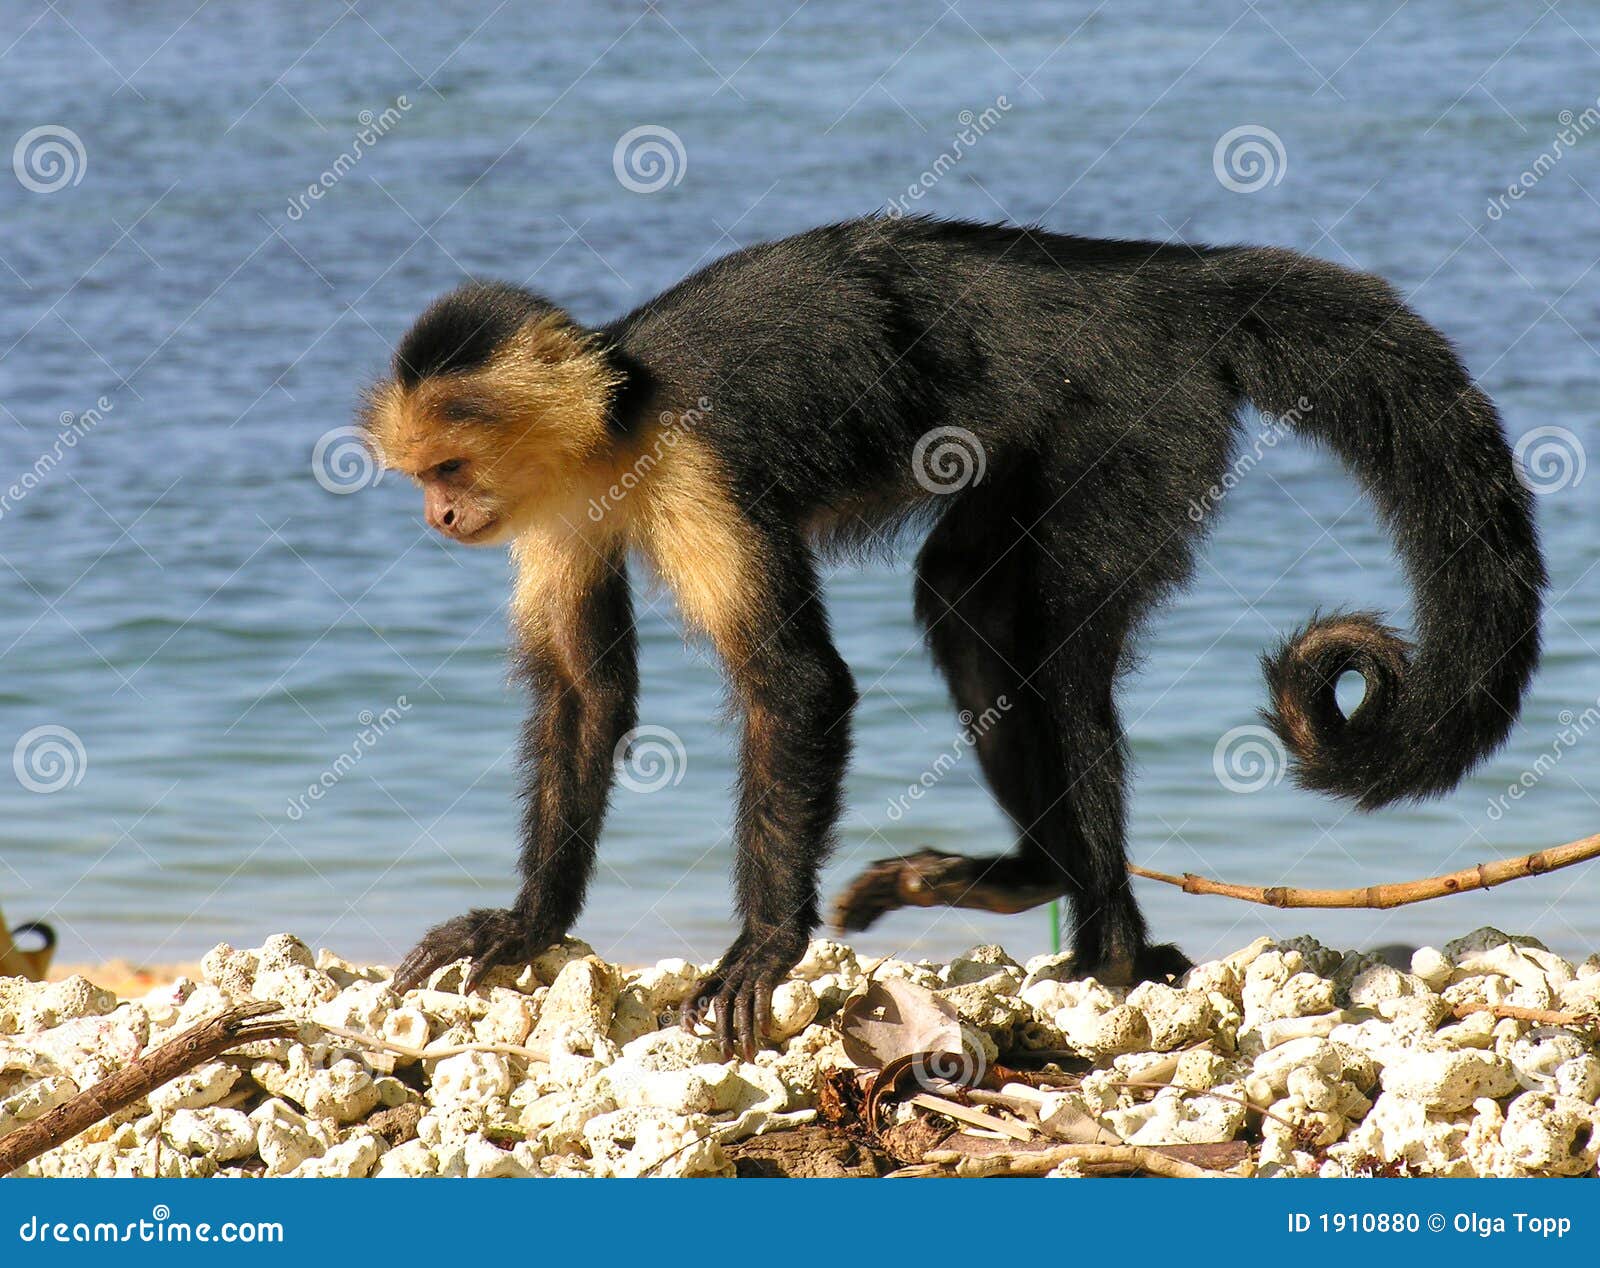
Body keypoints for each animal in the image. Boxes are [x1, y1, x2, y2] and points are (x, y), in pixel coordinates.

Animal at [360, 215, 1545, 1057]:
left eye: (449, 466)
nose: (439, 516)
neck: (618, 416)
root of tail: (1157, 278)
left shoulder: (699, 464)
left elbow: (796, 686)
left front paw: (763, 948)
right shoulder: (557, 507)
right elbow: (584, 695)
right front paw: (523, 924)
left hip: (1136, 418)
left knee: (1060, 649)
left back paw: (1110, 943)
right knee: (967, 601)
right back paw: (1030, 875)